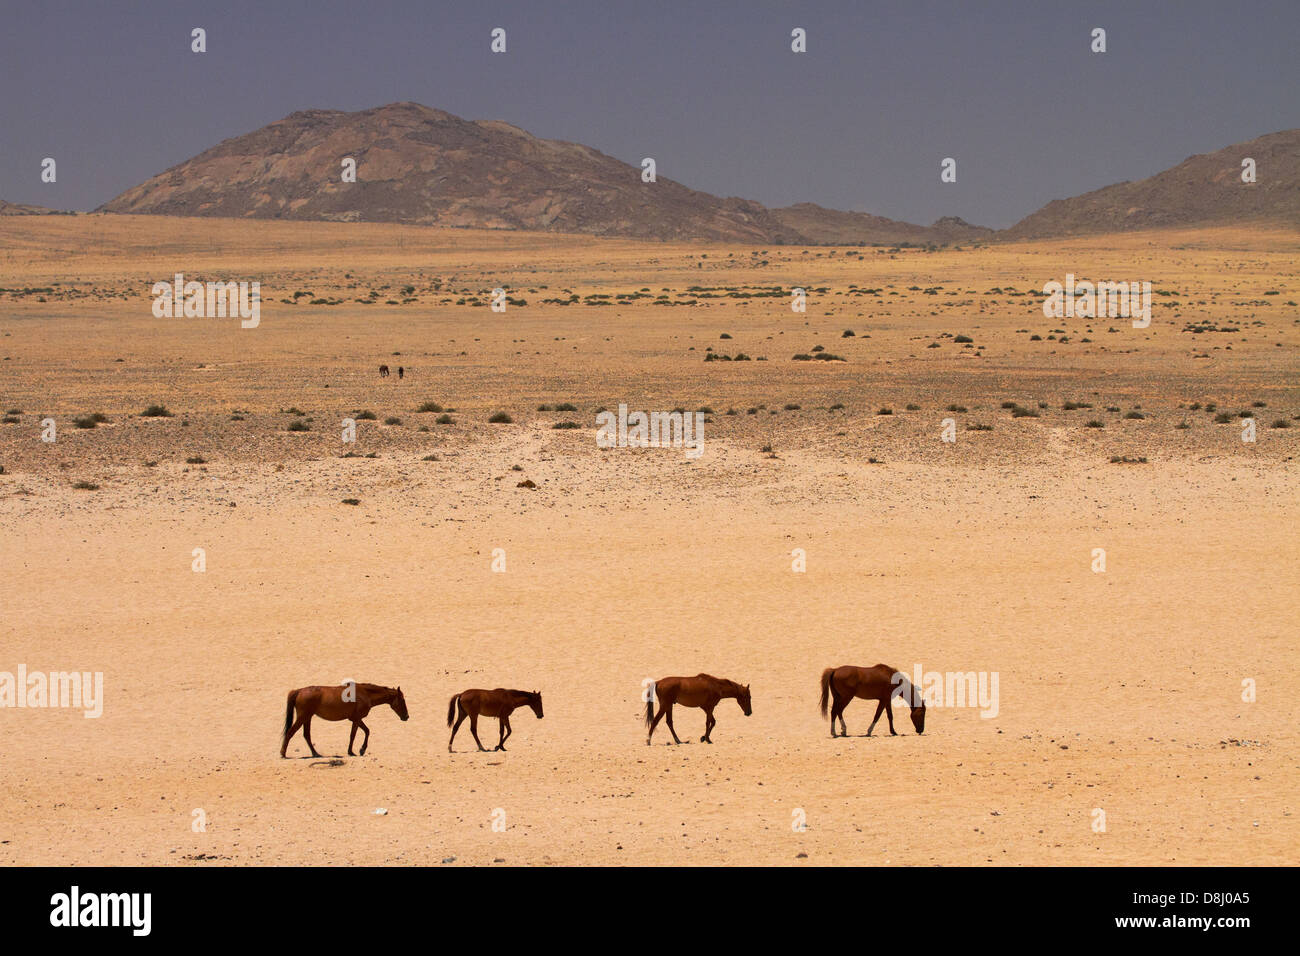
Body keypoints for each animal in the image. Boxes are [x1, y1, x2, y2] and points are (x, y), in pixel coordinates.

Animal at [281, 682, 409, 758]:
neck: (365, 694)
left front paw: (358, 750)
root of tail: (299, 690)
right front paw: (356, 751)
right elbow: (355, 735)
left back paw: (315, 754)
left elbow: (365, 731)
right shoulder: (356, 719)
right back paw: (283, 753)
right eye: (402, 700)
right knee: (290, 733)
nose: (407, 717)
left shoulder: (355, 719)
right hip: (303, 717)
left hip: (307, 718)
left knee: (306, 735)